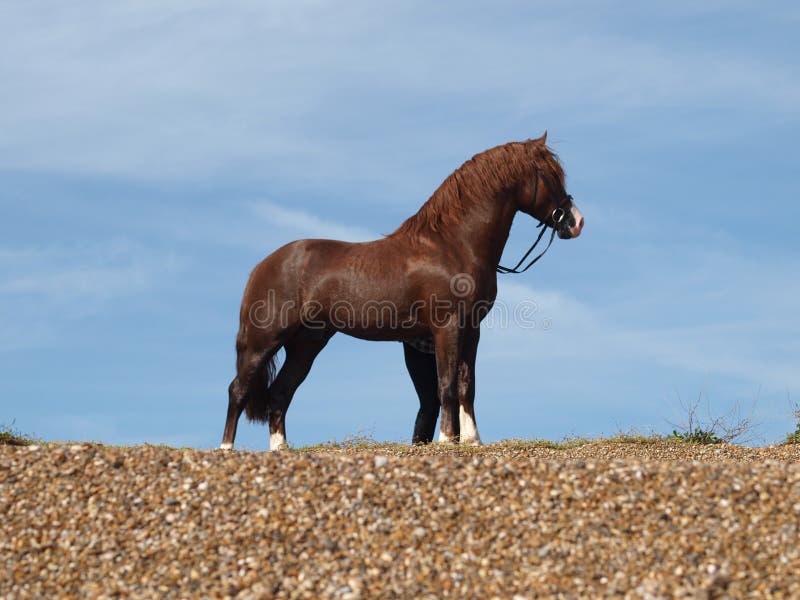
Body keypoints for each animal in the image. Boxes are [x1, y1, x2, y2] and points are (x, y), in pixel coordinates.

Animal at [220, 132, 584, 451]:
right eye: (551, 175)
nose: (576, 222)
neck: (452, 244)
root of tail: (263, 265)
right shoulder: (447, 327)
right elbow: (446, 384)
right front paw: (447, 440)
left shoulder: (472, 329)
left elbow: (467, 384)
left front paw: (472, 440)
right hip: (266, 340)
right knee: (238, 389)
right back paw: (226, 449)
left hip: (307, 343)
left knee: (281, 392)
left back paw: (280, 448)